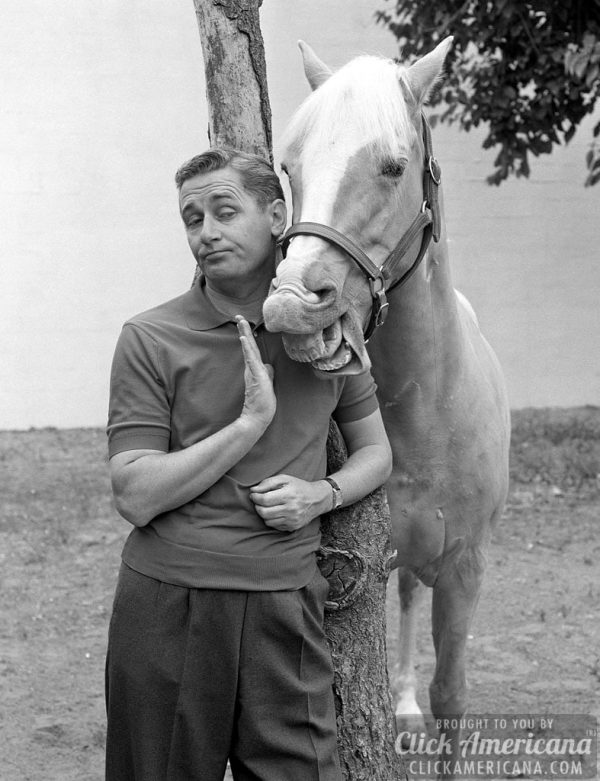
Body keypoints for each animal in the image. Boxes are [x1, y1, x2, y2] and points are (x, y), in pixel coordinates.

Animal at [262, 37, 511, 759]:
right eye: (288, 168)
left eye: (393, 166)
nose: (292, 306)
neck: (425, 409)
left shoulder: (464, 567)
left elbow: (452, 697)